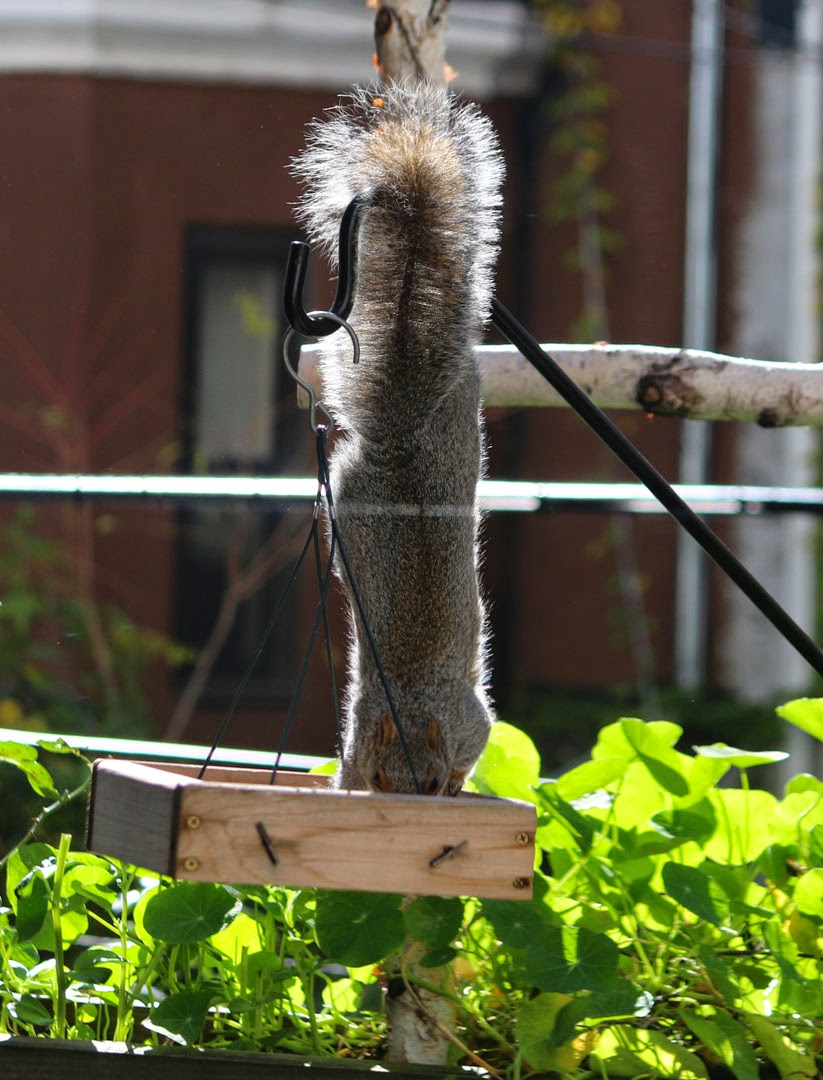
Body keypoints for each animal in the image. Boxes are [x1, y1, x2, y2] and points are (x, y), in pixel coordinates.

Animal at [292, 81, 503, 795]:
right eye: (379, 779)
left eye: (432, 785)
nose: (416, 806)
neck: (410, 705)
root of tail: (402, 434)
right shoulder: (357, 738)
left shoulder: (471, 726)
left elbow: (474, 746)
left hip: (457, 422)